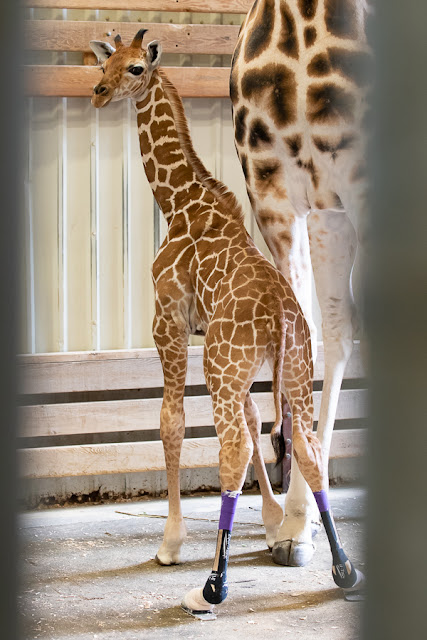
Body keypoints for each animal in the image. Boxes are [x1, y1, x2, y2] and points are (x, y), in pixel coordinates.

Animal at [89, 29, 363, 618]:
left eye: (135, 68)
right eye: (106, 63)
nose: (97, 92)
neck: (179, 202)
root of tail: (282, 314)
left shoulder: (168, 322)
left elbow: (170, 421)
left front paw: (170, 544)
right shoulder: (224, 354)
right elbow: (261, 419)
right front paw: (273, 523)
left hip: (222, 366)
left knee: (231, 449)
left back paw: (211, 586)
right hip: (291, 371)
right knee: (309, 450)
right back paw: (342, 568)